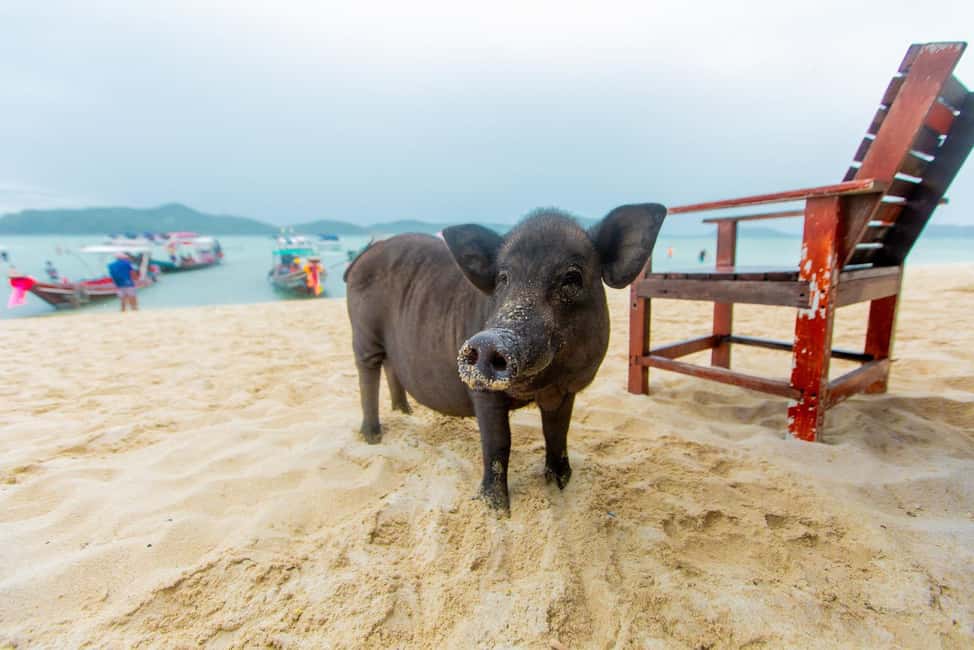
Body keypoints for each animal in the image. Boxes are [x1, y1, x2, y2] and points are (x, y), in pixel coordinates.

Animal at [344, 204, 666, 512]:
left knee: (390, 367)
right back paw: (373, 436)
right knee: (367, 374)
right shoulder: (482, 391)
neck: (544, 386)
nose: (488, 341)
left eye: (572, 277)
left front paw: (561, 482)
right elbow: (498, 444)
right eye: (502, 278)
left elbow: (557, 432)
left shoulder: (565, 390)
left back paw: (405, 412)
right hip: (364, 333)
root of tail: (363, 256)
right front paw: (495, 508)